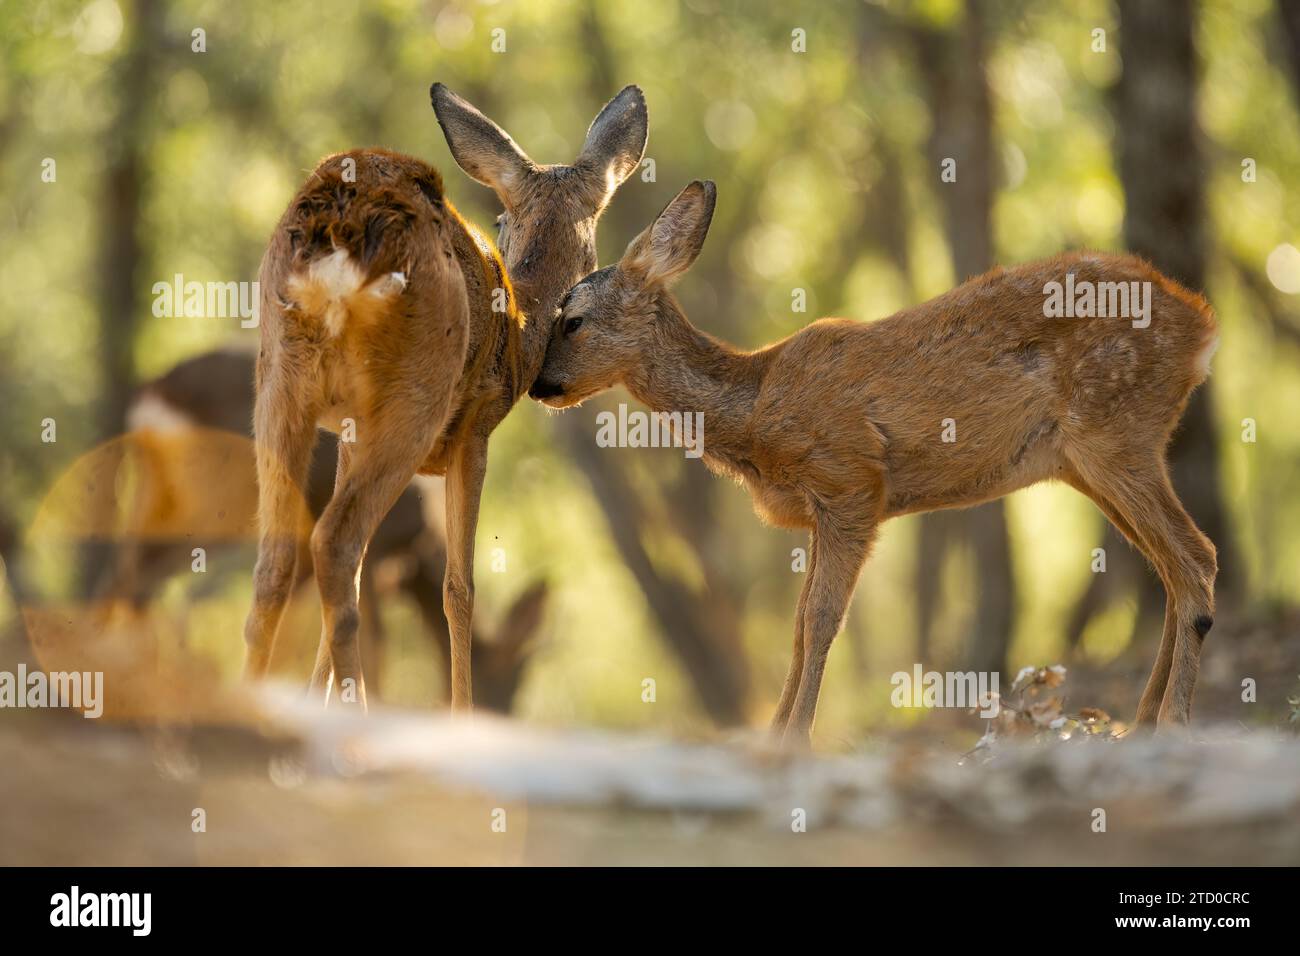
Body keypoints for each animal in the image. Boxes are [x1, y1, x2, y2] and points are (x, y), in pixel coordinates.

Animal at [244, 83, 648, 711]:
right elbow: (460, 586)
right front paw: (462, 711)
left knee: (279, 560)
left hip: (280, 381)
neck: (519, 320)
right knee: (335, 543)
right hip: (415, 396)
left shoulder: (347, 438)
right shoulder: (475, 429)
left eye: (504, 215)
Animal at [531, 180, 1220, 745]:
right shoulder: (822, 511)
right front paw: (774, 736)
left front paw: (795, 740)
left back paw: (1173, 723)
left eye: (572, 320)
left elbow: (820, 619)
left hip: (1115, 429)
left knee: (1195, 558)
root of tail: (1204, 326)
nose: (539, 386)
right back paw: (1139, 723)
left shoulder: (852, 482)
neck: (754, 405)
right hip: (1089, 457)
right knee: (1176, 568)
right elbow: (797, 625)